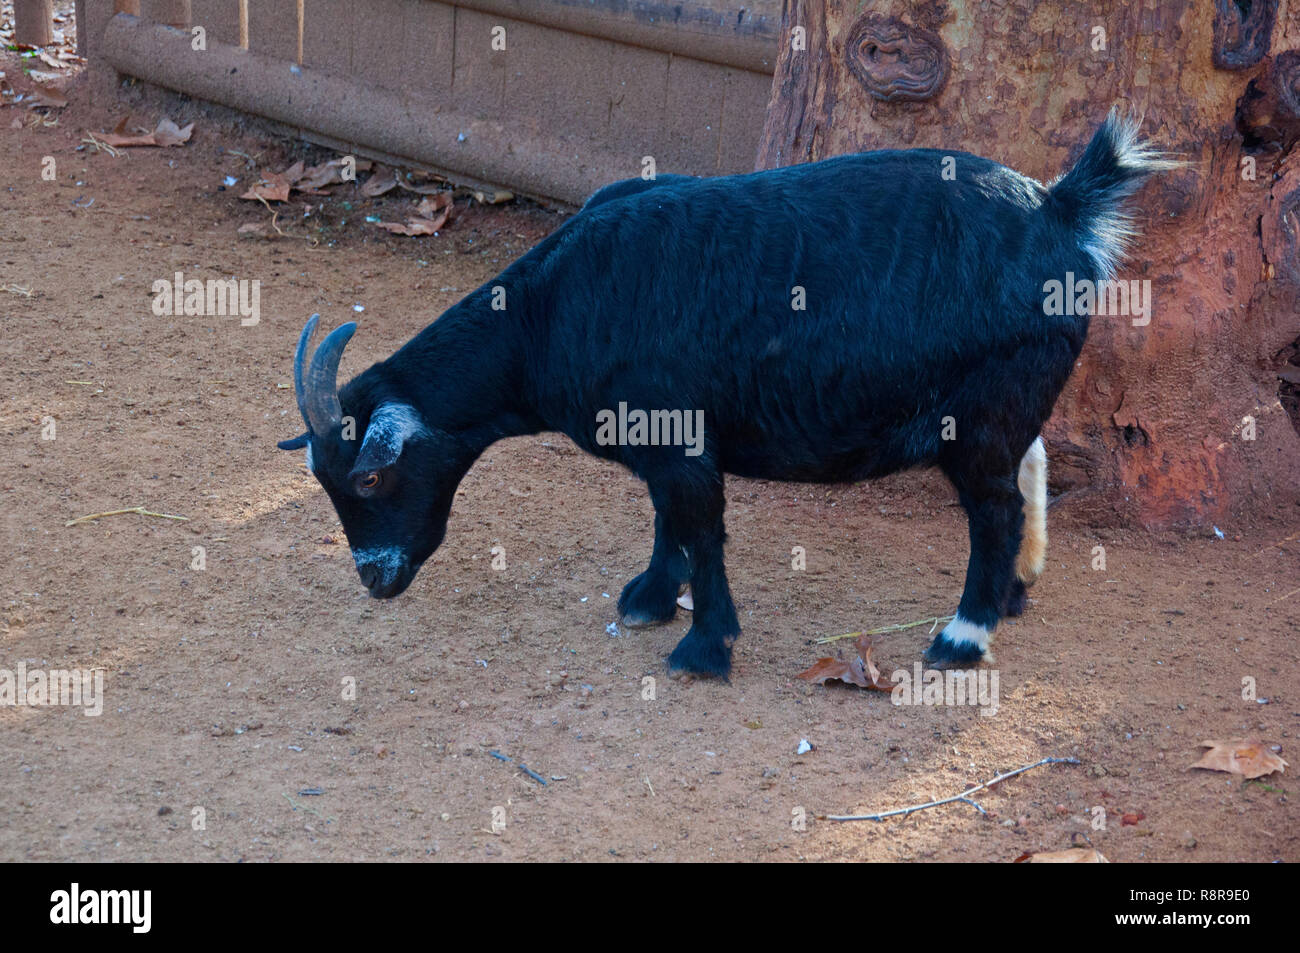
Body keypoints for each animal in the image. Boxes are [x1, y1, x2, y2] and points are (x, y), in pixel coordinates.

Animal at [277, 112, 1175, 679]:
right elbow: (666, 520)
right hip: (1011, 401)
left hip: (977, 415)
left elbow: (701, 529)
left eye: (370, 475)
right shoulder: (660, 443)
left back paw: (963, 634)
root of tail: (1061, 210)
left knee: (995, 507)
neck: (548, 312)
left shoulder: (679, 439)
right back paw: (1016, 592)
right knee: (1032, 466)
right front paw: (650, 598)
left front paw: (705, 647)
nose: (376, 580)